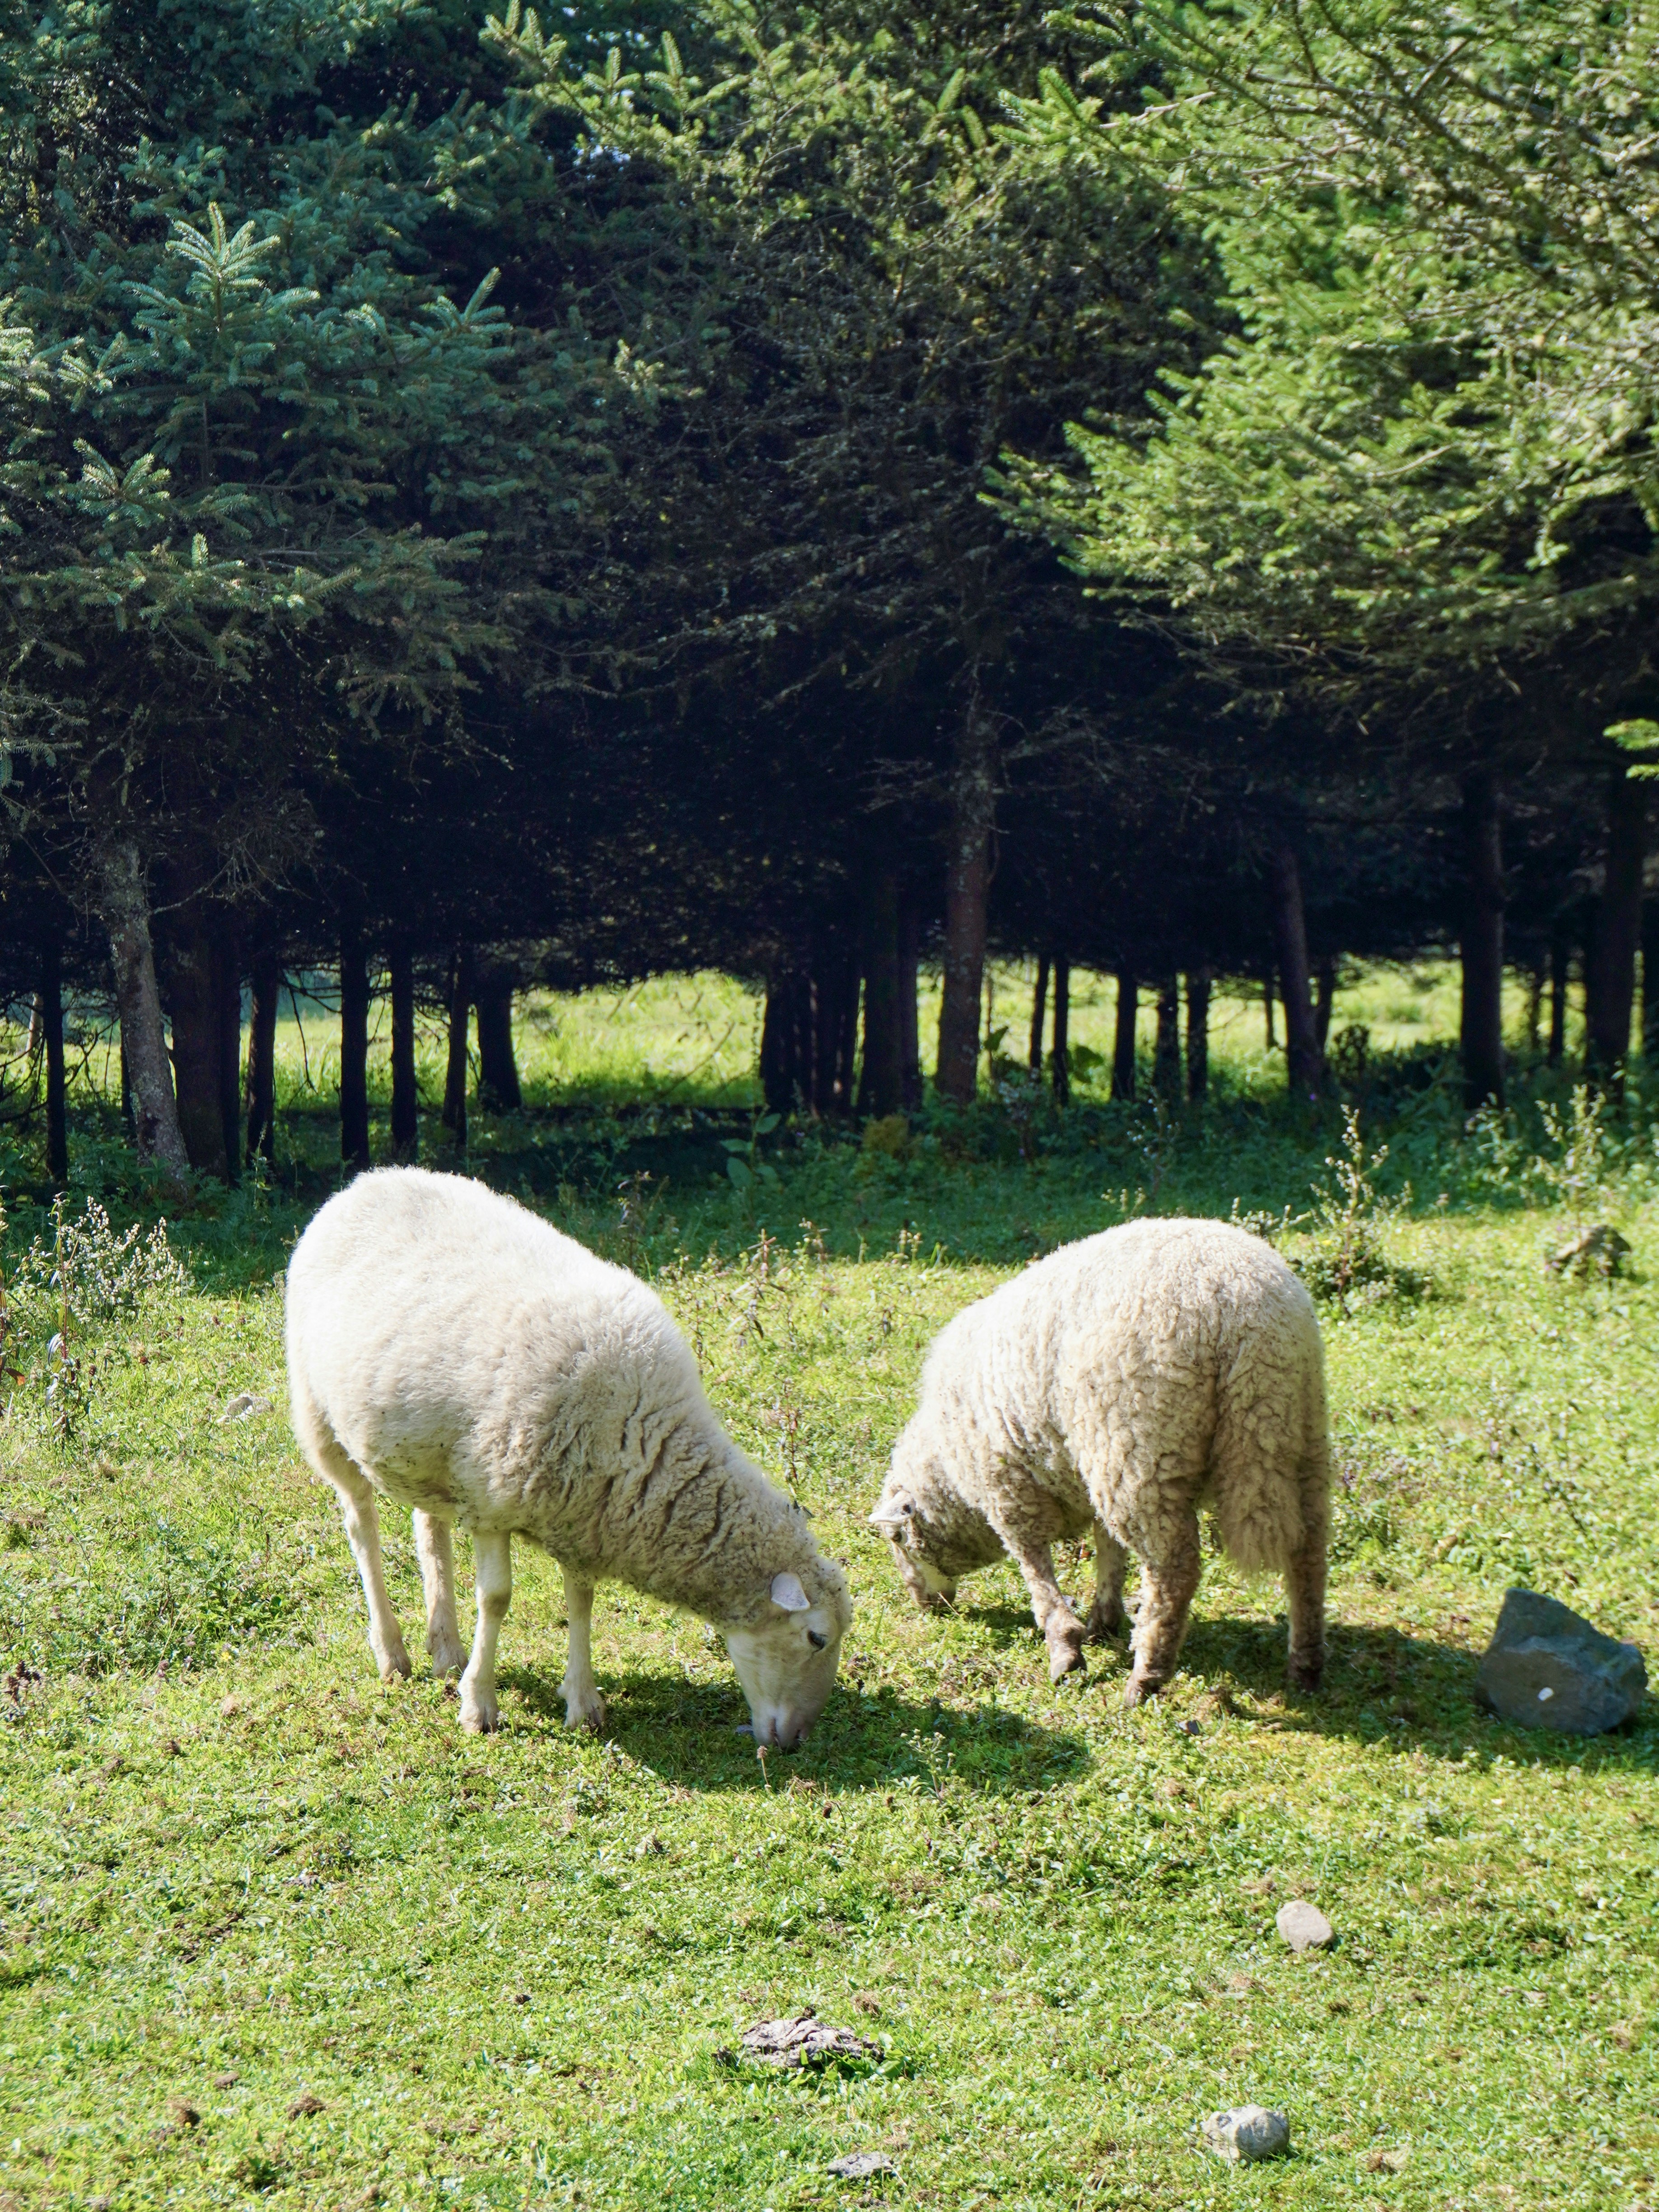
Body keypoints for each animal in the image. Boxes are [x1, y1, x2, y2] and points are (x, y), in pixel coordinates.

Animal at [284, 1168, 851, 1746]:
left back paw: (446, 1647)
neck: (640, 1432)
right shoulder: (493, 1502)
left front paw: (583, 1701)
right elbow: (497, 1598)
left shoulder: (583, 1515)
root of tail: (367, 1181)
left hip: (432, 1456)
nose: (794, 1741)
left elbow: (581, 1601)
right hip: (319, 1413)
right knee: (363, 1527)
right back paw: (392, 1651)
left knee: (430, 1530)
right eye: (816, 1638)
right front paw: (479, 1704)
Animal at [870, 1217, 1329, 1705]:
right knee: (1307, 1554)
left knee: (1174, 1569)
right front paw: (1101, 1622)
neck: (951, 1472)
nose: (926, 1605)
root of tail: (1245, 1310)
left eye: (898, 1539)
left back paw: (1147, 1675)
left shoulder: (1008, 1491)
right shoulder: (1086, 1472)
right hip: (1297, 1436)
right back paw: (1304, 1665)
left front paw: (1065, 1650)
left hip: (1138, 1449)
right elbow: (1108, 1548)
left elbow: (1037, 1571)